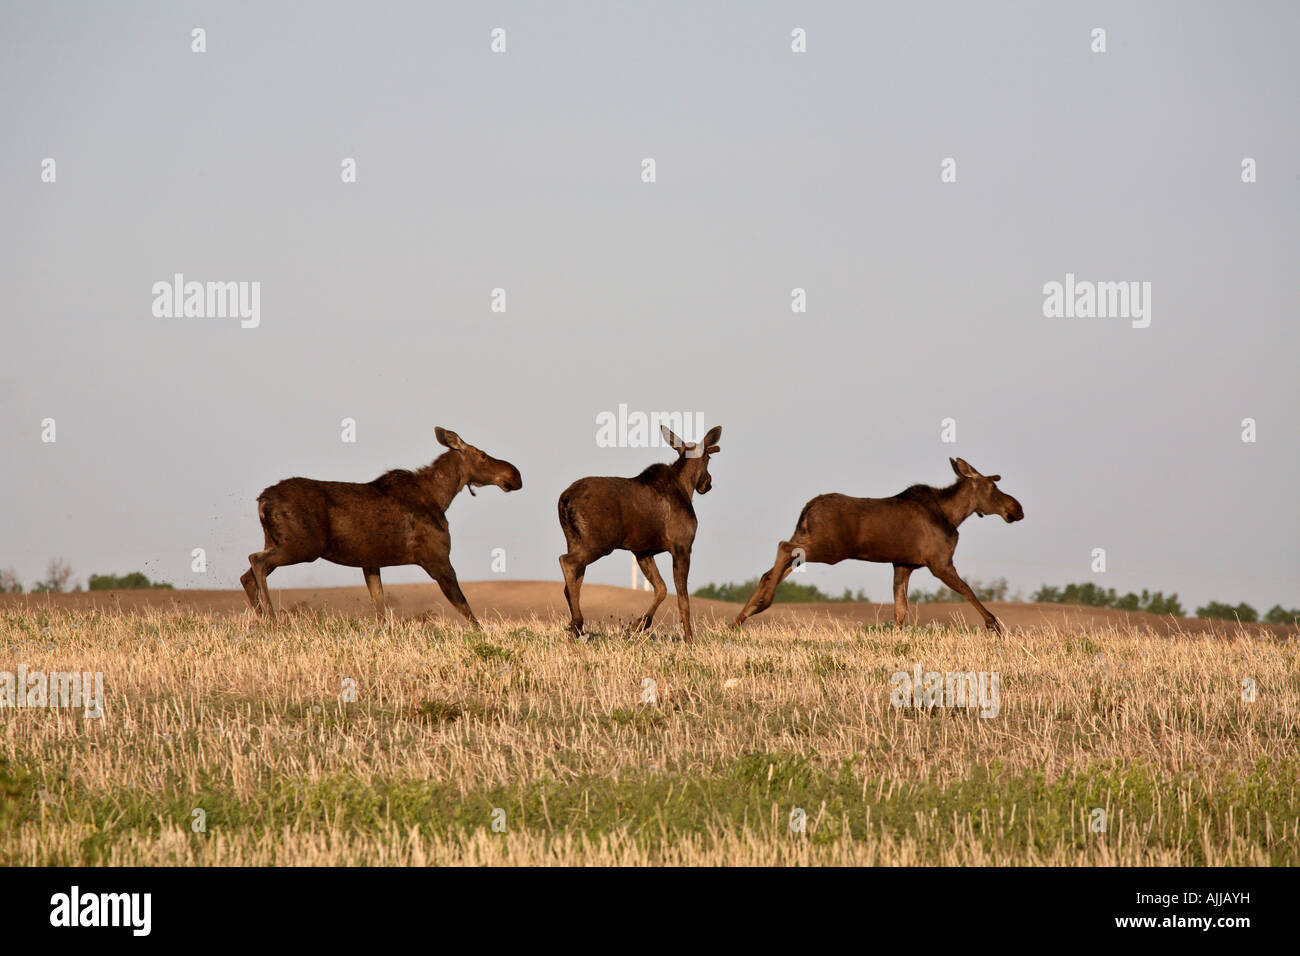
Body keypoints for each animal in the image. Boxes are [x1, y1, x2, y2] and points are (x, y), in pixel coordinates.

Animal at [240, 427, 522, 625]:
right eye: (482, 455)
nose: (515, 475)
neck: (442, 497)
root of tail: (262, 501)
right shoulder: (437, 558)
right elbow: (465, 607)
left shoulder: (370, 562)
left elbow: (381, 609)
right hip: (302, 546)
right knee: (256, 560)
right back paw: (272, 619)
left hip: (277, 540)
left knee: (248, 575)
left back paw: (262, 620)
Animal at [558, 424, 722, 641]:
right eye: (709, 459)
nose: (708, 483)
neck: (686, 487)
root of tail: (564, 499)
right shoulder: (682, 546)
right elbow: (683, 599)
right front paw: (689, 639)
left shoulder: (643, 551)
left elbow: (661, 588)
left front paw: (638, 625)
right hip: (599, 543)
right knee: (566, 561)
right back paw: (577, 622)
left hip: (574, 539)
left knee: (573, 581)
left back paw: (574, 628)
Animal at [733, 457, 1024, 633]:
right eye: (992, 486)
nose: (1017, 508)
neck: (954, 515)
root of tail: (807, 507)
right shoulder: (939, 562)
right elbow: (968, 590)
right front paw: (994, 624)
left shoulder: (903, 564)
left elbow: (900, 610)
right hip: (829, 548)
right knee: (783, 547)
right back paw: (761, 605)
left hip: (810, 540)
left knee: (771, 569)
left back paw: (741, 616)